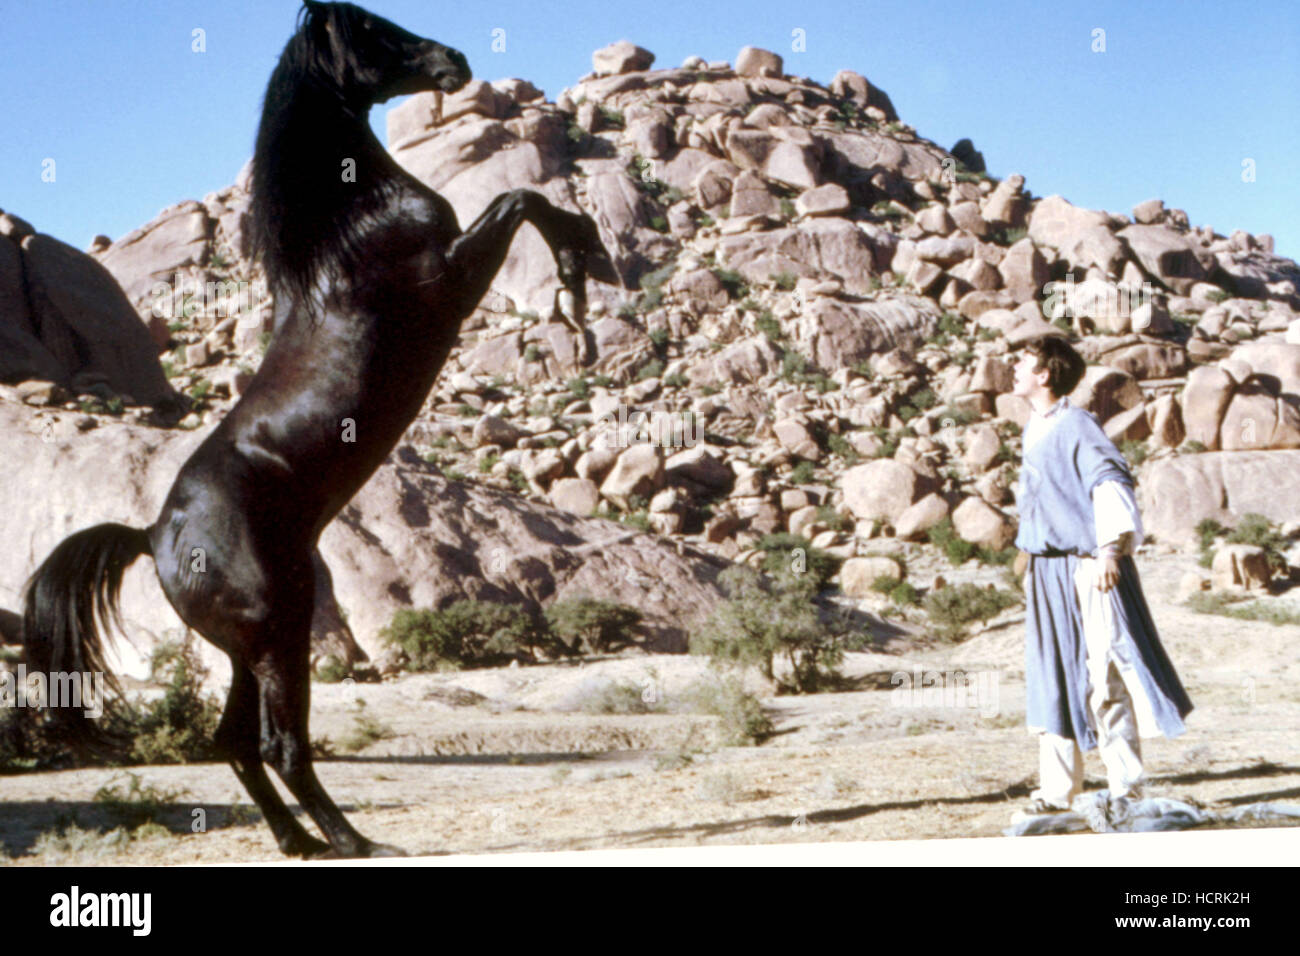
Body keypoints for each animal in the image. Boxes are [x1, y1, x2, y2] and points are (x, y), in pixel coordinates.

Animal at [21, 0, 617, 858]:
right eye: (369, 29)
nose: (454, 60)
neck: (350, 227)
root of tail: (153, 536)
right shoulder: (451, 277)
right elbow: (522, 202)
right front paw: (582, 265)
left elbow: (524, 201)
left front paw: (582, 276)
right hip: (281, 636)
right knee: (281, 745)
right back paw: (355, 842)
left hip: (250, 649)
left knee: (236, 744)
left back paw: (302, 843)